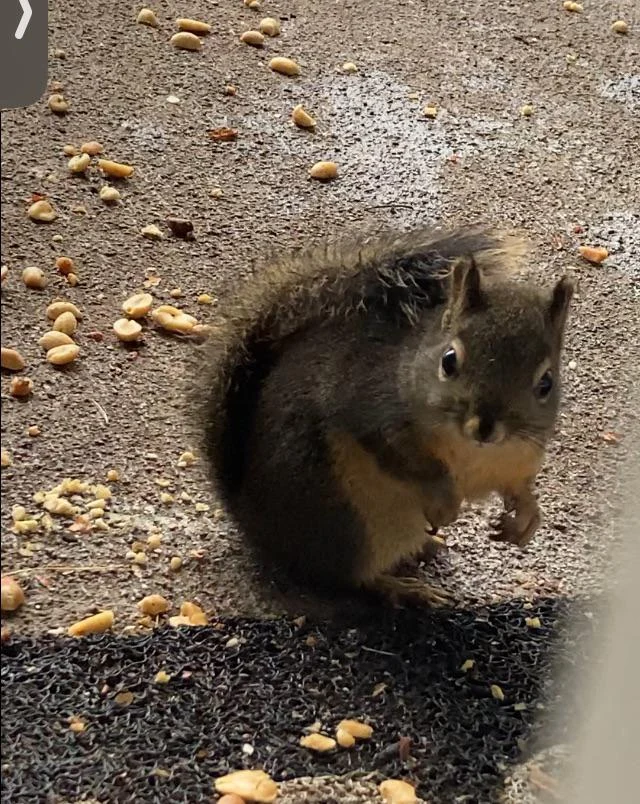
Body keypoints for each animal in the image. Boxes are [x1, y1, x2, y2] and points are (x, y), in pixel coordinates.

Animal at [199, 225, 574, 606]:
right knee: (350, 578)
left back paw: (426, 547)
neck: (473, 451)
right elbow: (410, 464)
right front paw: (445, 502)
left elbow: (517, 486)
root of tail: (250, 518)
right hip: (349, 522)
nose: (485, 427)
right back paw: (406, 587)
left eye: (546, 383)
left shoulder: (516, 456)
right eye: (449, 360)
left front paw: (527, 517)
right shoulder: (372, 411)